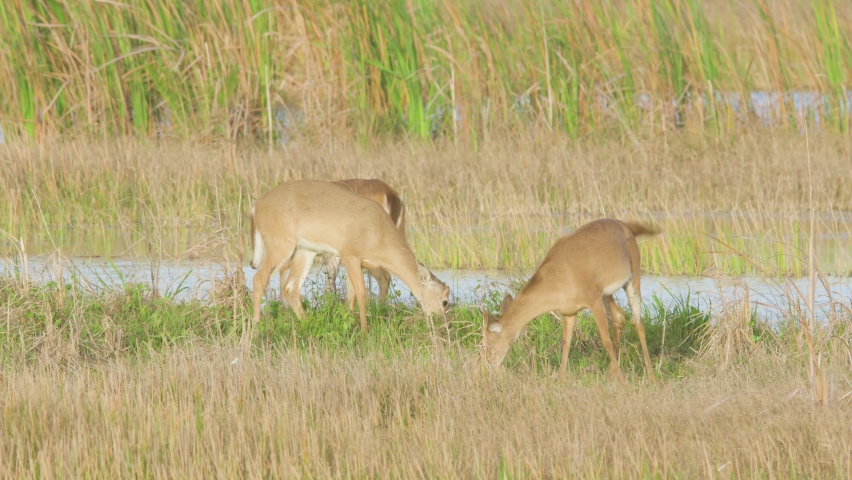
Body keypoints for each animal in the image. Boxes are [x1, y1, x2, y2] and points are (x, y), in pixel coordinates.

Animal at [250, 180, 450, 329]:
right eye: (445, 301)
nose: (443, 323)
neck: (379, 232)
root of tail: (257, 205)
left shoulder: (359, 262)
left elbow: (352, 295)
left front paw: (352, 323)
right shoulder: (350, 255)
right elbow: (361, 293)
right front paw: (364, 329)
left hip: (305, 251)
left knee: (291, 288)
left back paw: (307, 323)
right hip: (280, 246)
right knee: (259, 279)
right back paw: (257, 326)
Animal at [481, 218, 659, 381]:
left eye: (484, 343)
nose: (488, 366)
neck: (560, 274)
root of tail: (625, 226)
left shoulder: (594, 302)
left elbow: (605, 341)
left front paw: (623, 381)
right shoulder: (570, 312)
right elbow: (566, 343)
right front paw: (560, 379)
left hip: (632, 281)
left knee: (638, 323)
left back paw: (651, 376)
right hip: (606, 295)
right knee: (620, 318)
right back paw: (611, 375)